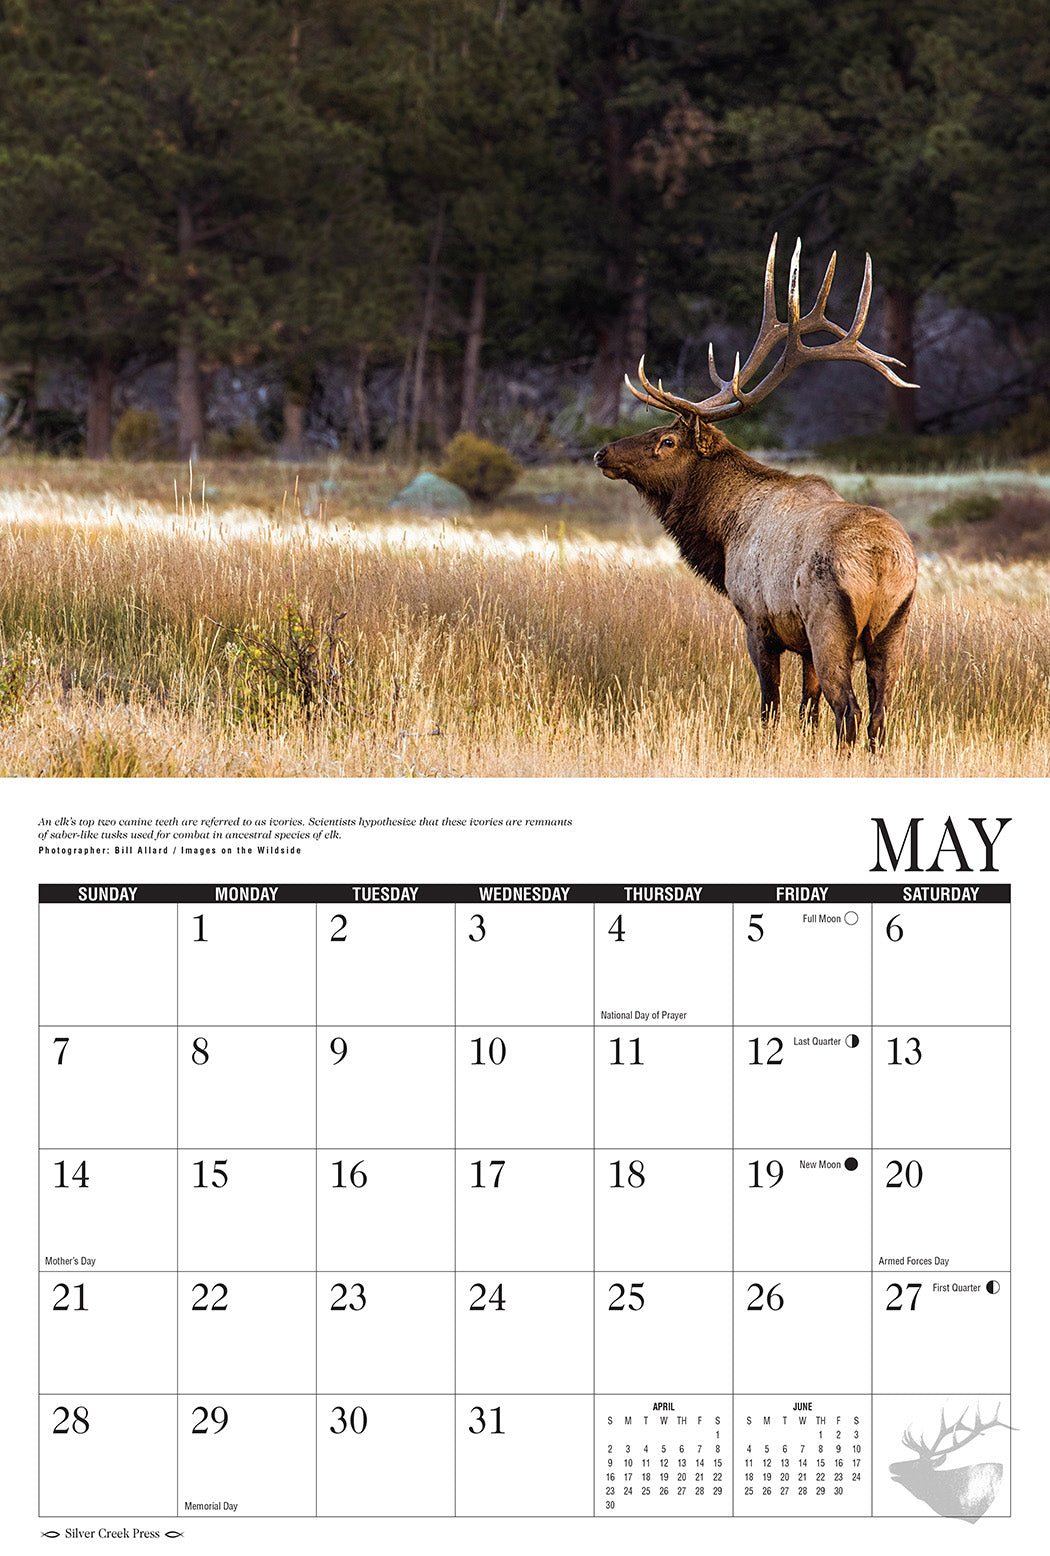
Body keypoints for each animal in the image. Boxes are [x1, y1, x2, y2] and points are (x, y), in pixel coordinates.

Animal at [593, 236, 919, 749]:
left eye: (666, 441)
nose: (602, 452)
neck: (722, 536)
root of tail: (884, 563)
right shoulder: (799, 641)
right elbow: (806, 711)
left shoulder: (757, 620)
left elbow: (770, 706)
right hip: (895, 627)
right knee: (879, 716)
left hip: (829, 620)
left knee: (848, 710)